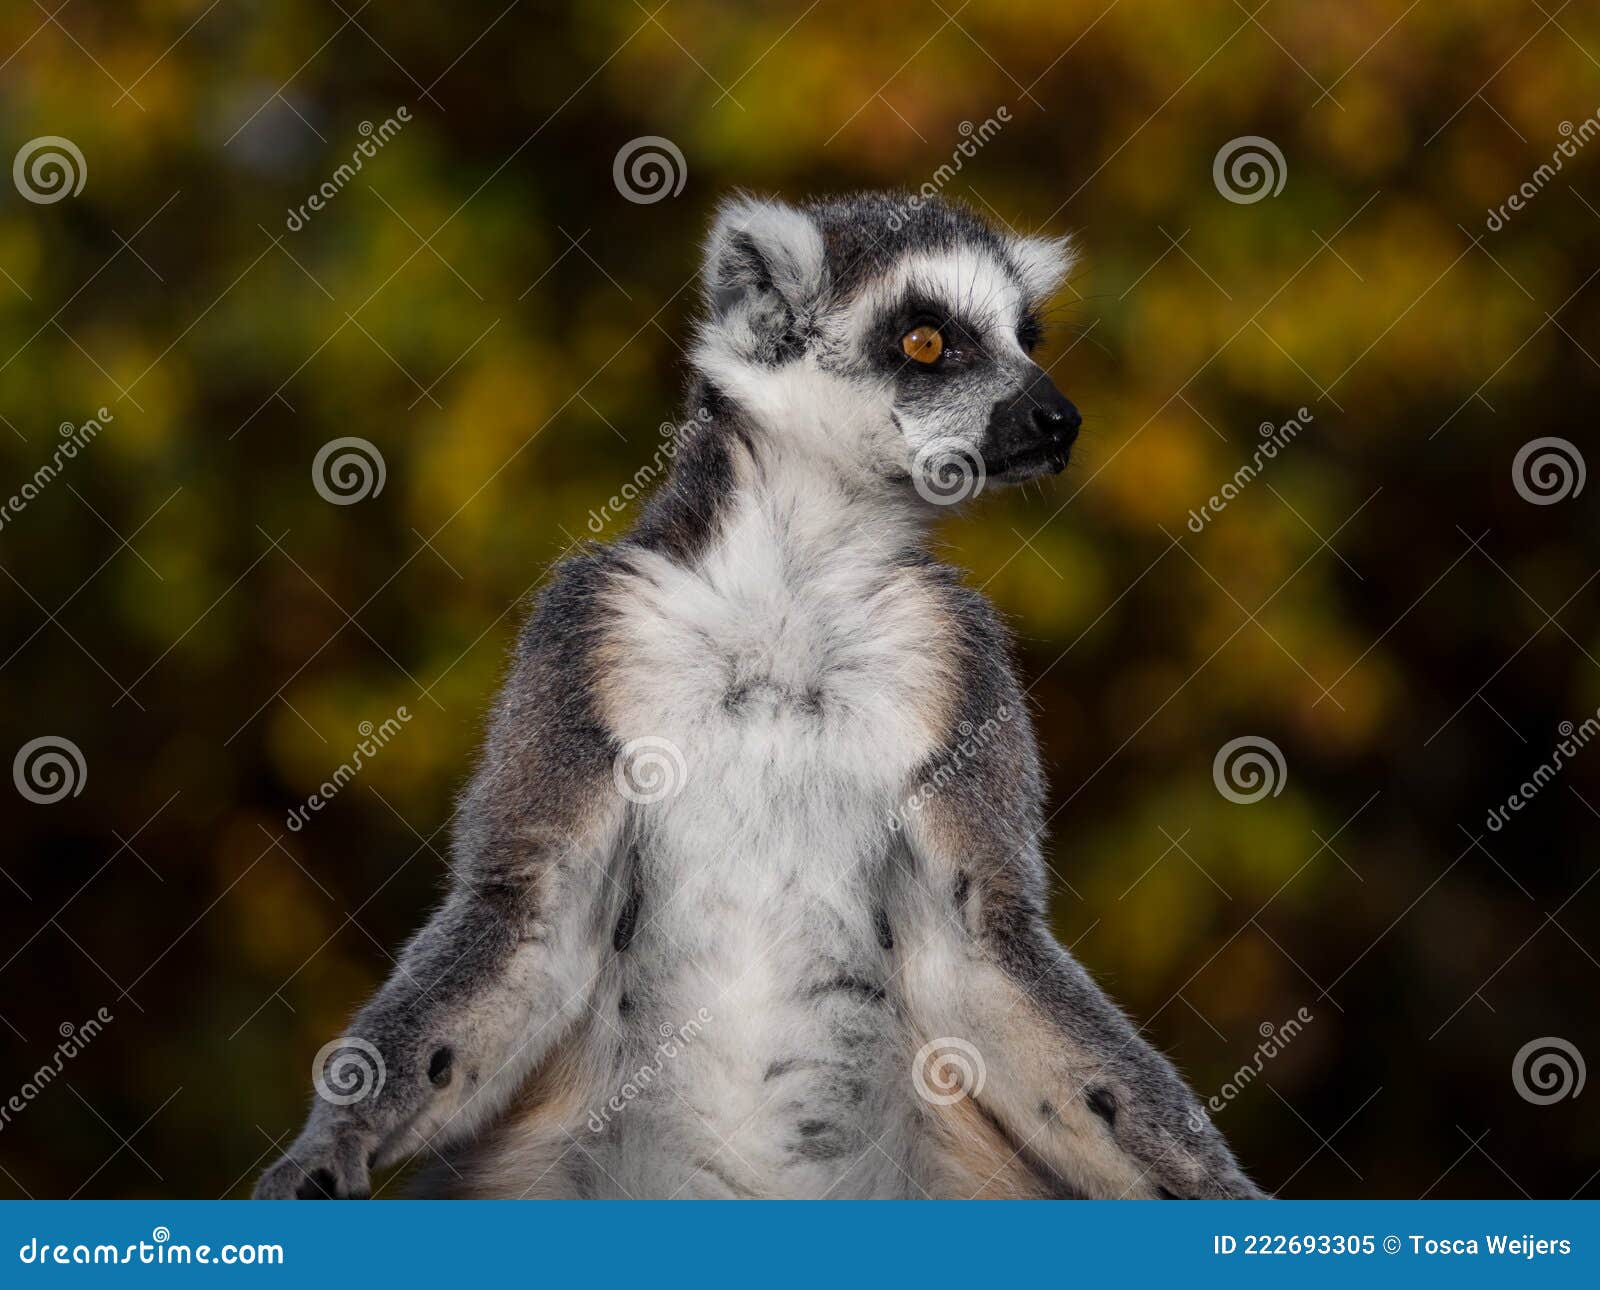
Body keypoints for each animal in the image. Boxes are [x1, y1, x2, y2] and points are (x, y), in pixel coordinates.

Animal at [255, 191, 1263, 1200]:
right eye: (927, 340)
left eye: (1025, 337)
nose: (1057, 419)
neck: (795, 578)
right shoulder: (588, 628)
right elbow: (534, 916)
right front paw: (327, 1148)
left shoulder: (957, 659)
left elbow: (977, 948)